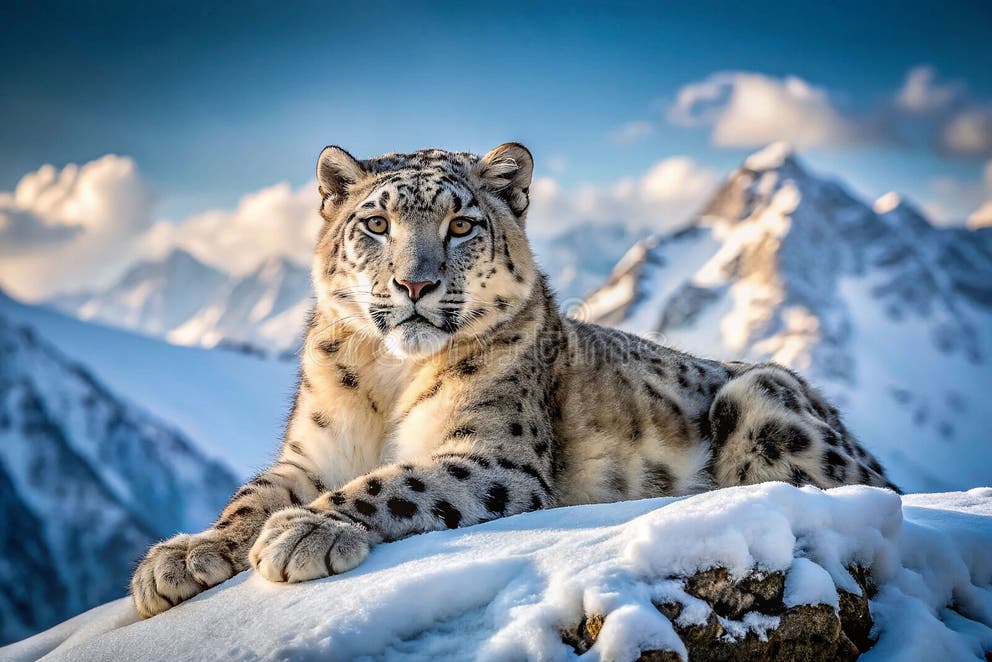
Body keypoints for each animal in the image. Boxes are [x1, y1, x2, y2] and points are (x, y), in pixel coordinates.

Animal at [130, 143, 896, 618]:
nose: (415, 283)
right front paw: (182, 556)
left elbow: (397, 482)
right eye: (374, 223)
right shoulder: (310, 453)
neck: (386, 379)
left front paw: (303, 533)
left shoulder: (495, 455)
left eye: (462, 224)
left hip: (761, 397)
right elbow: (250, 496)